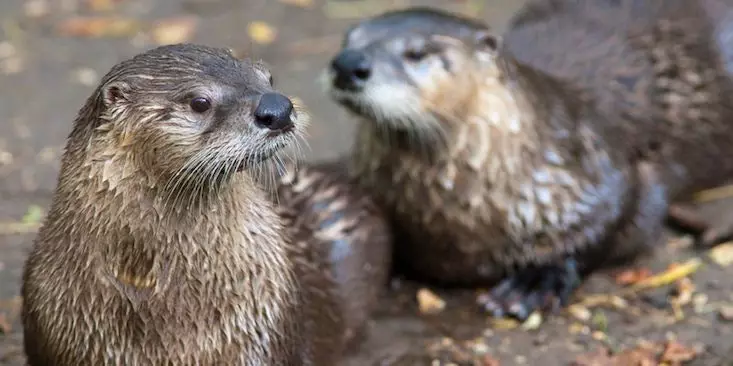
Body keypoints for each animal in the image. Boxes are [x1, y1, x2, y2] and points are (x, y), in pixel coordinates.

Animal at [324, 5, 732, 320]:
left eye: (417, 52)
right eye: (348, 40)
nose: (347, 64)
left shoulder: (607, 172)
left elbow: (616, 218)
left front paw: (534, 282)